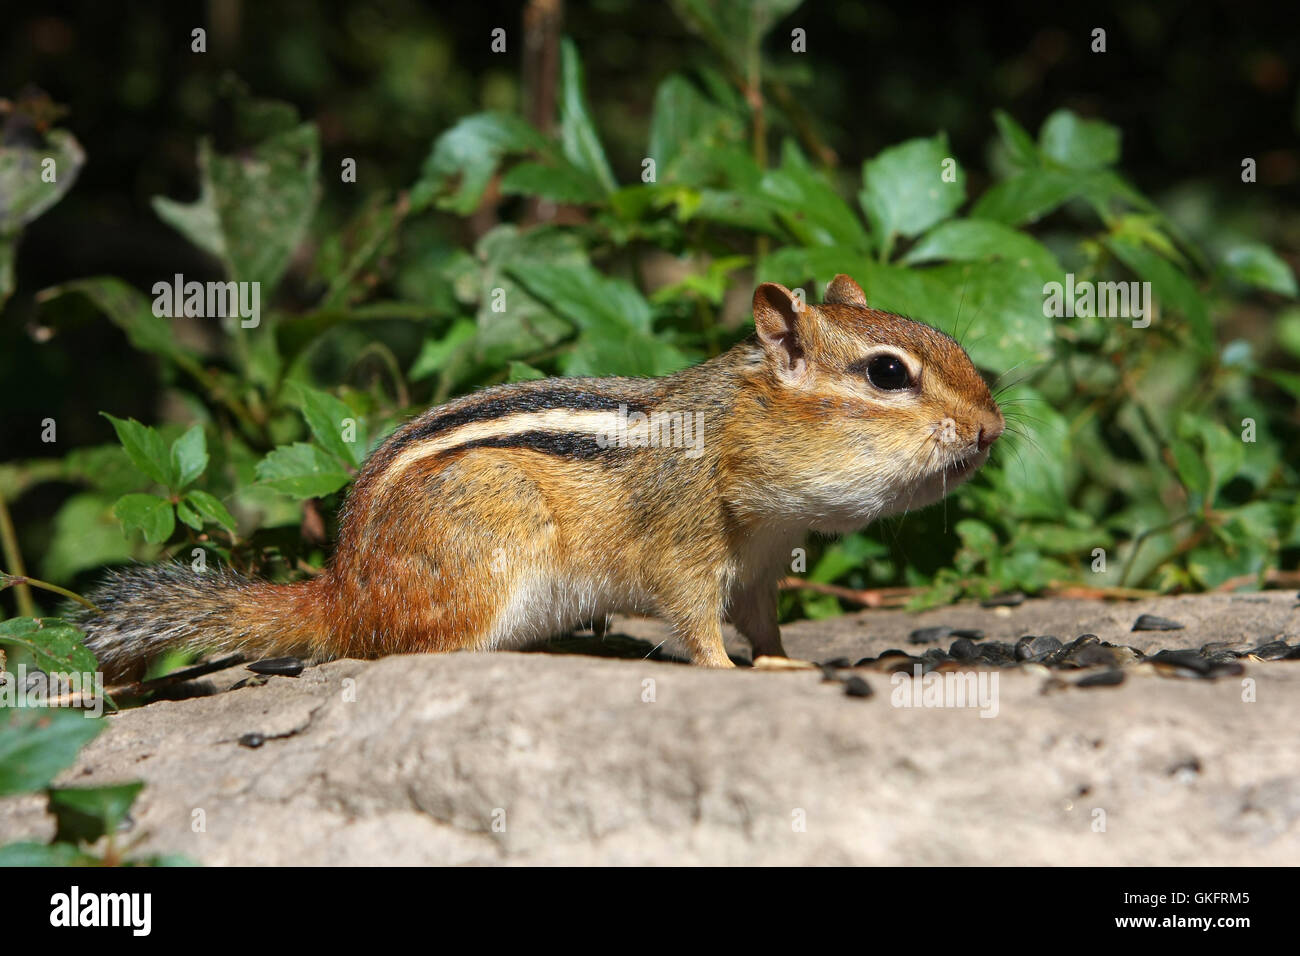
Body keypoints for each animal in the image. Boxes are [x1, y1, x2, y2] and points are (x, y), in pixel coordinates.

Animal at [78, 274, 1003, 676]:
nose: (992, 428)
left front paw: (782, 665)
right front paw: (722, 670)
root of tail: (343, 591)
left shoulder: (762, 565)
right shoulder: (684, 549)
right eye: (888, 374)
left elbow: (762, 622)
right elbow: (695, 619)